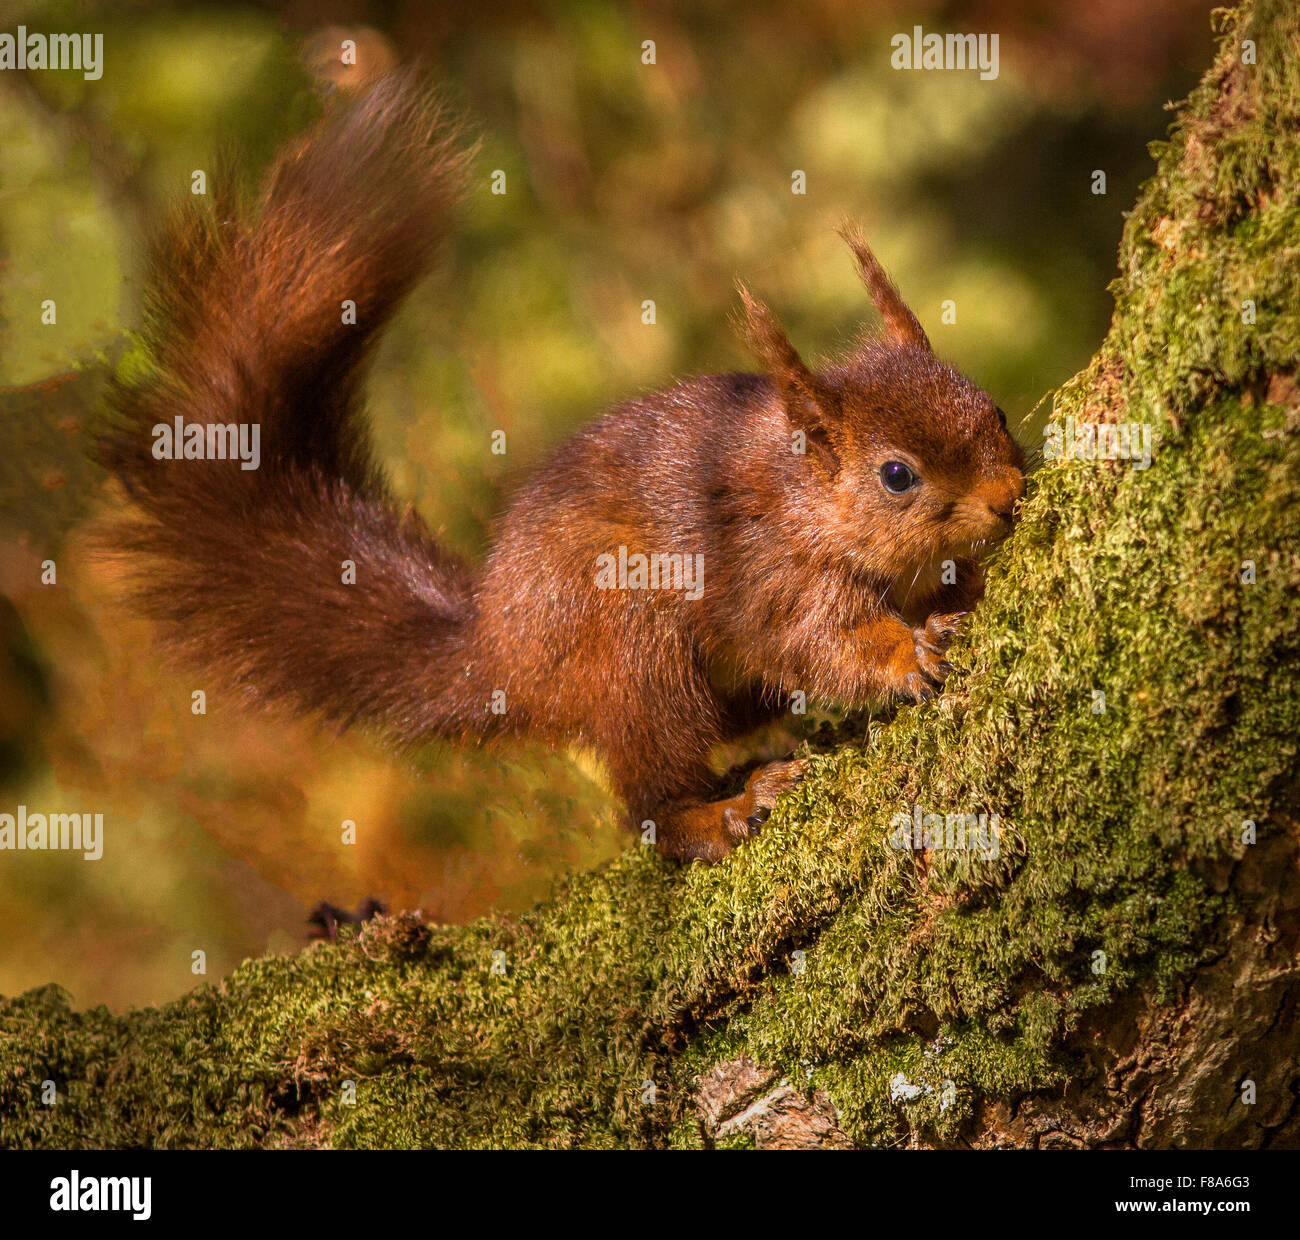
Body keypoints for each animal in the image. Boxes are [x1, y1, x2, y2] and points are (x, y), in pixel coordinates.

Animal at [100, 72, 1026, 864]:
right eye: (897, 476)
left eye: (996, 412)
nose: (1009, 499)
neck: (804, 496)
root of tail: (500, 654)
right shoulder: (766, 570)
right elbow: (820, 640)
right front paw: (906, 653)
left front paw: (955, 600)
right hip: (630, 649)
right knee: (648, 802)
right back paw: (719, 812)